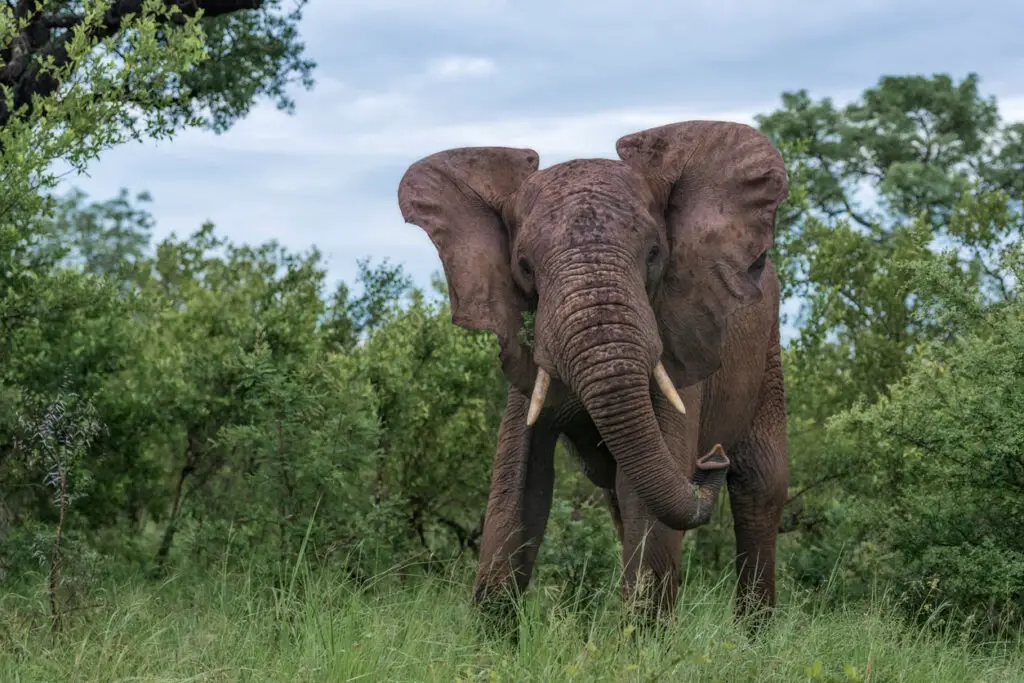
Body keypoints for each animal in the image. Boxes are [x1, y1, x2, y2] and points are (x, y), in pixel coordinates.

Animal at [396, 119, 790, 628]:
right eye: (524, 267)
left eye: (654, 253)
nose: (712, 460)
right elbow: (517, 482)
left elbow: (650, 490)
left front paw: (644, 642)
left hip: (769, 354)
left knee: (759, 489)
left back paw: (751, 637)